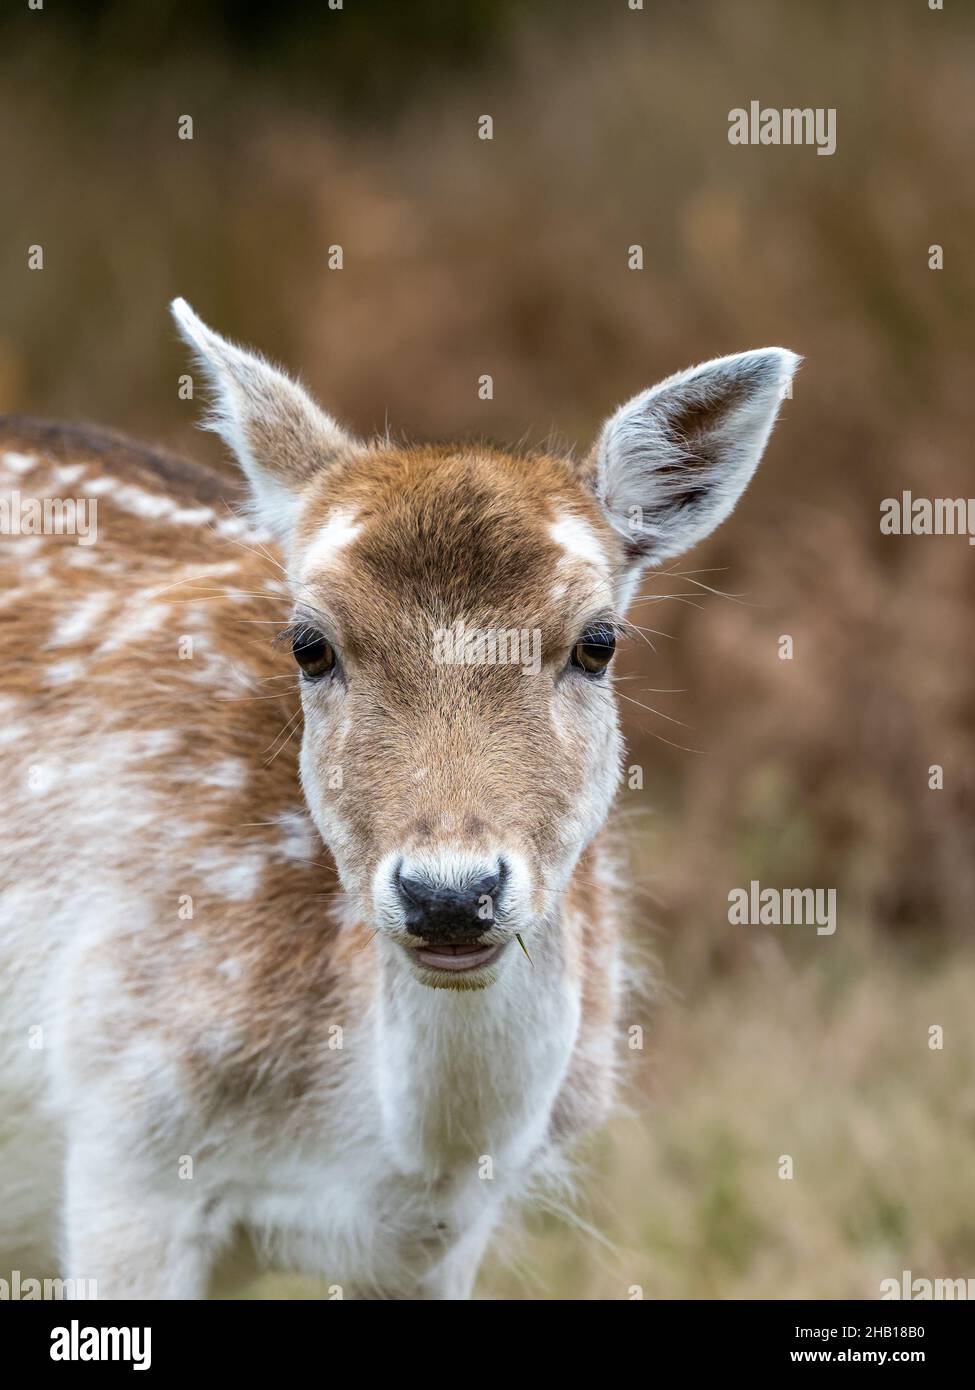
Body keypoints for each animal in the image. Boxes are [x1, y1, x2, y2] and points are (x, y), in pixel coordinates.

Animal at [0, 301, 797, 1299]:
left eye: (598, 642)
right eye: (308, 644)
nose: (450, 894)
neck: (396, 1156)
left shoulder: (445, 1241)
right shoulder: (122, 1142)